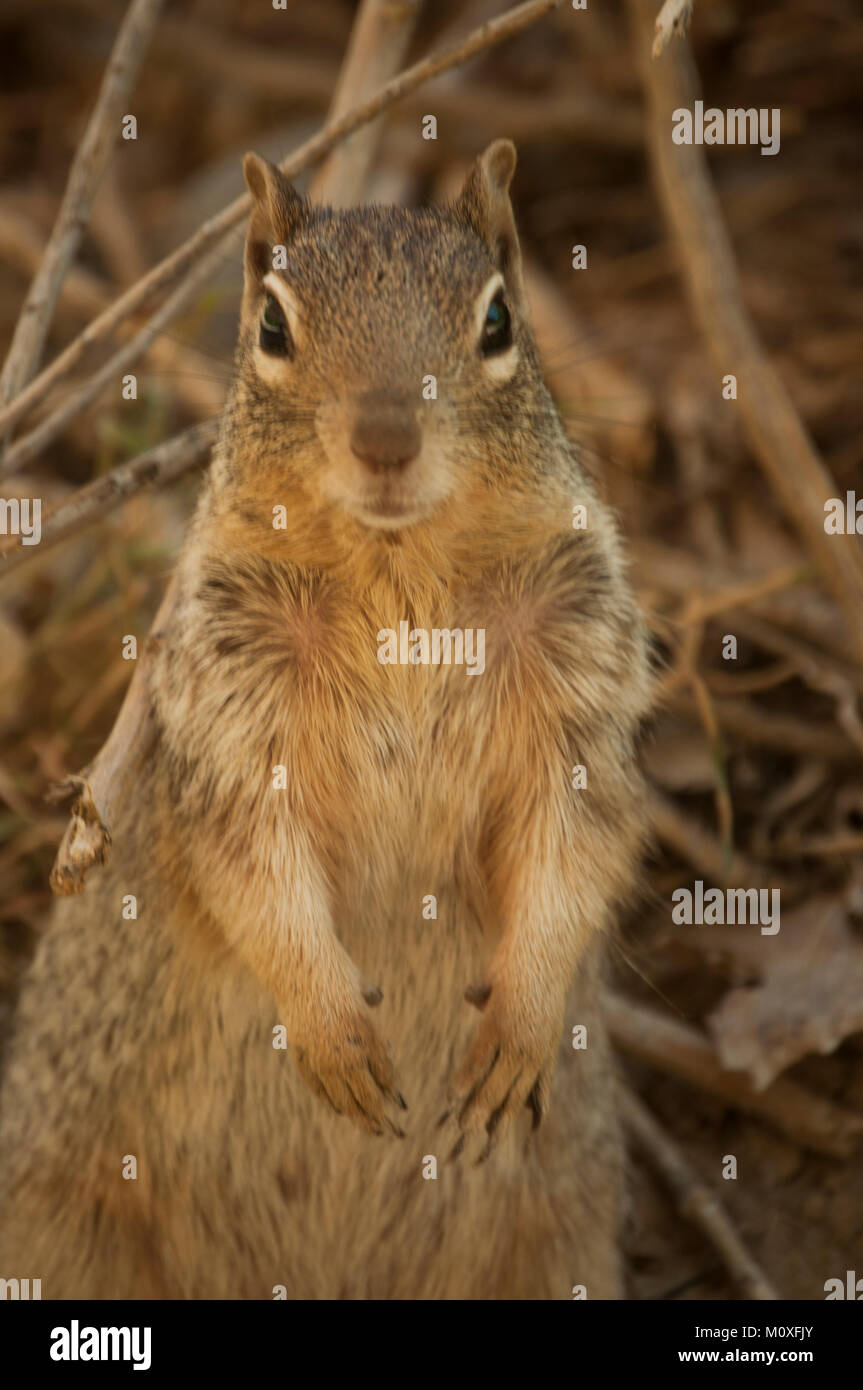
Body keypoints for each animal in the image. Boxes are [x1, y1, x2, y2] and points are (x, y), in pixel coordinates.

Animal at [0, 140, 650, 1300]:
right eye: (270, 325)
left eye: (498, 321)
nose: (385, 437)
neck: (399, 583)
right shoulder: (227, 709)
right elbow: (255, 869)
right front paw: (335, 1032)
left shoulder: (578, 673)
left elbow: (574, 845)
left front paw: (520, 1028)